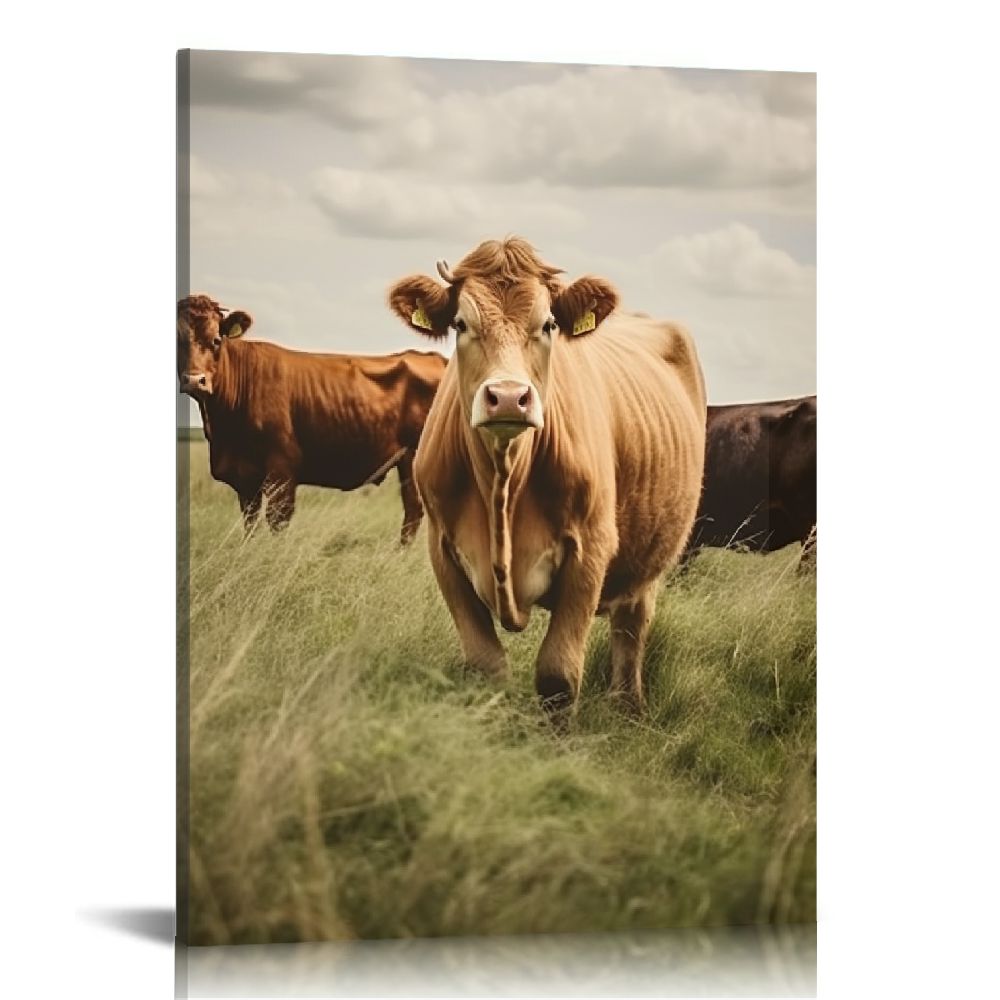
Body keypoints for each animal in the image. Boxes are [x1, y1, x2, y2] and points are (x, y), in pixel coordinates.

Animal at [177, 295, 446, 542]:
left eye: (216, 340)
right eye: (178, 341)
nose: (195, 380)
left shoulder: (281, 471)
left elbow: (277, 522)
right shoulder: (245, 479)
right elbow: (250, 525)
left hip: (414, 458)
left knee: (417, 509)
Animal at [387, 237, 706, 715]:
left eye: (549, 324)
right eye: (461, 324)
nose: (507, 397)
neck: (504, 482)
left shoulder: (590, 549)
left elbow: (558, 676)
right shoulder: (442, 549)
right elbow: (486, 665)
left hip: (653, 558)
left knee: (631, 628)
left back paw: (627, 708)